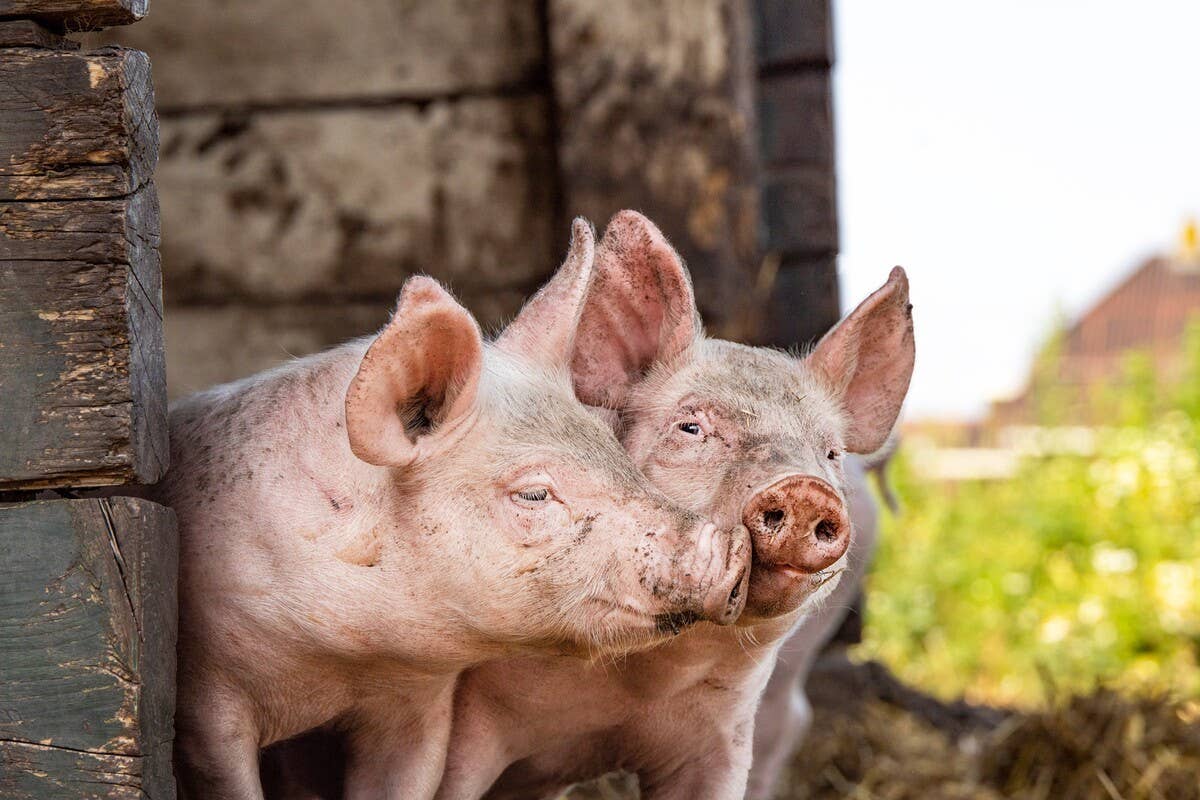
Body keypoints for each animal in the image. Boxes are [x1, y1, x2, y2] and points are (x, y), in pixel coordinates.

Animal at [157, 219, 751, 800]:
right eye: (534, 494)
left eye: (611, 445)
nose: (734, 544)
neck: (340, 662)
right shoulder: (206, 700)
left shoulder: (421, 709)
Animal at [425, 211, 915, 800]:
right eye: (690, 427)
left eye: (831, 453)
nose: (804, 488)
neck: (632, 687)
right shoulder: (468, 725)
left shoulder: (718, 740)